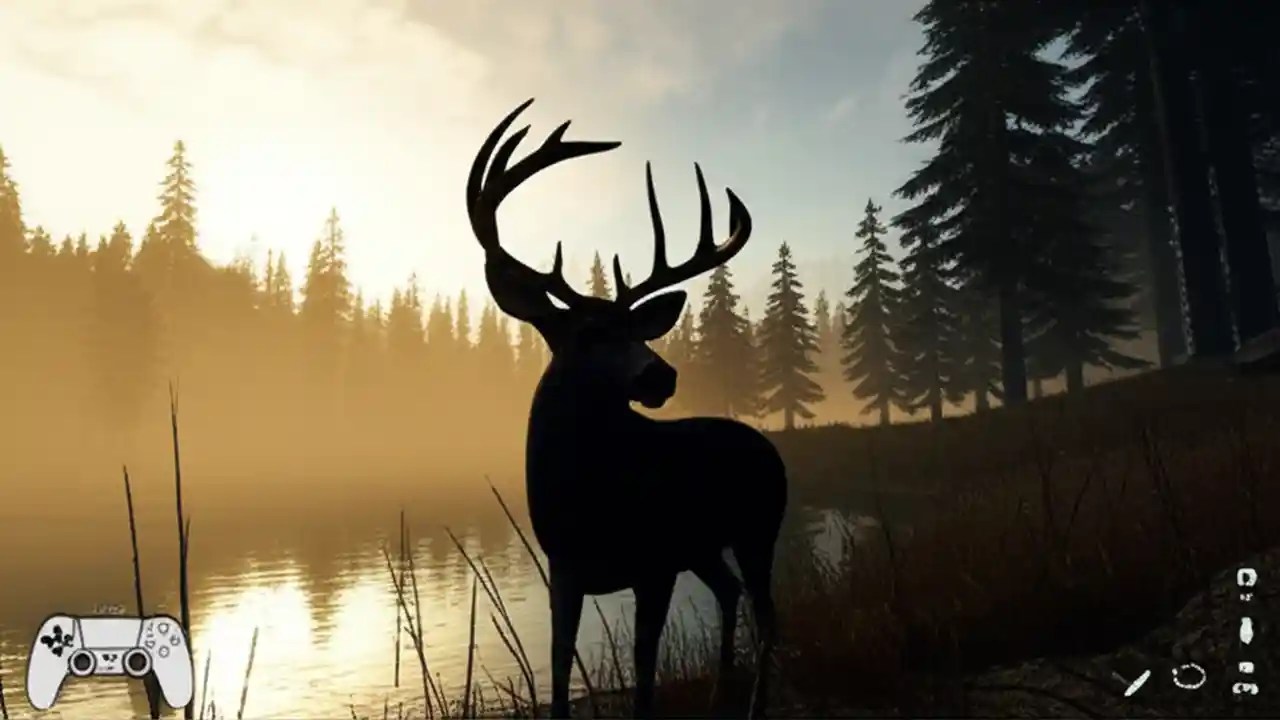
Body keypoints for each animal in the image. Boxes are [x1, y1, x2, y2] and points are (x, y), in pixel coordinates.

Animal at [466, 99, 788, 719]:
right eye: (590, 333)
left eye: (639, 330)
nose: (661, 375)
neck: (589, 502)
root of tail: (767, 444)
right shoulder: (565, 572)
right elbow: (560, 672)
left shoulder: (654, 563)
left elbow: (643, 676)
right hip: (703, 546)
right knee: (730, 590)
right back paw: (719, 694)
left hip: (759, 526)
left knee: (768, 614)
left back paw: (755, 705)